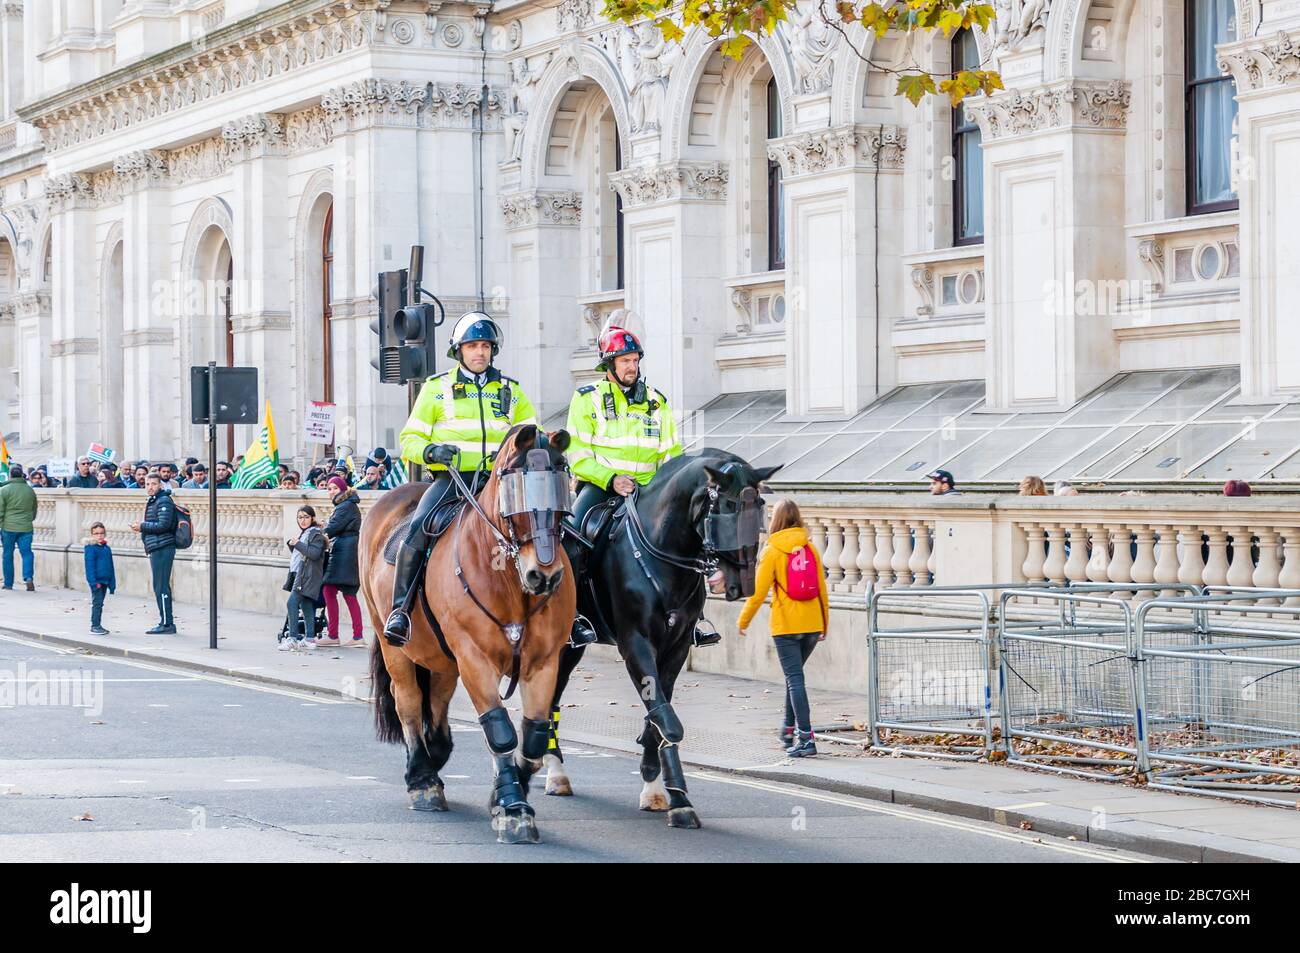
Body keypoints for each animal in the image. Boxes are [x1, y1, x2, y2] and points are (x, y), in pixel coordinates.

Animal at [360, 424, 578, 844]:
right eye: (515, 485)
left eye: (562, 483)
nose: (544, 576)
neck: (509, 580)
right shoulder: (475, 657)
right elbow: (500, 731)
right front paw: (512, 809)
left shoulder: (544, 661)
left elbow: (534, 734)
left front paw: (504, 794)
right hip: (391, 639)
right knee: (409, 700)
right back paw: (422, 778)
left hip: (440, 654)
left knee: (437, 700)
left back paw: (435, 753)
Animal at [544, 450, 779, 829]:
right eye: (725, 506)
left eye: (758, 505)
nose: (741, 584)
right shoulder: (635, 643)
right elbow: (668, 720)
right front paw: (675, 793)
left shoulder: (677, 647)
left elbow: (659, 712)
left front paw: (662, 791)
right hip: (561, 643)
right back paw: (553, 771)